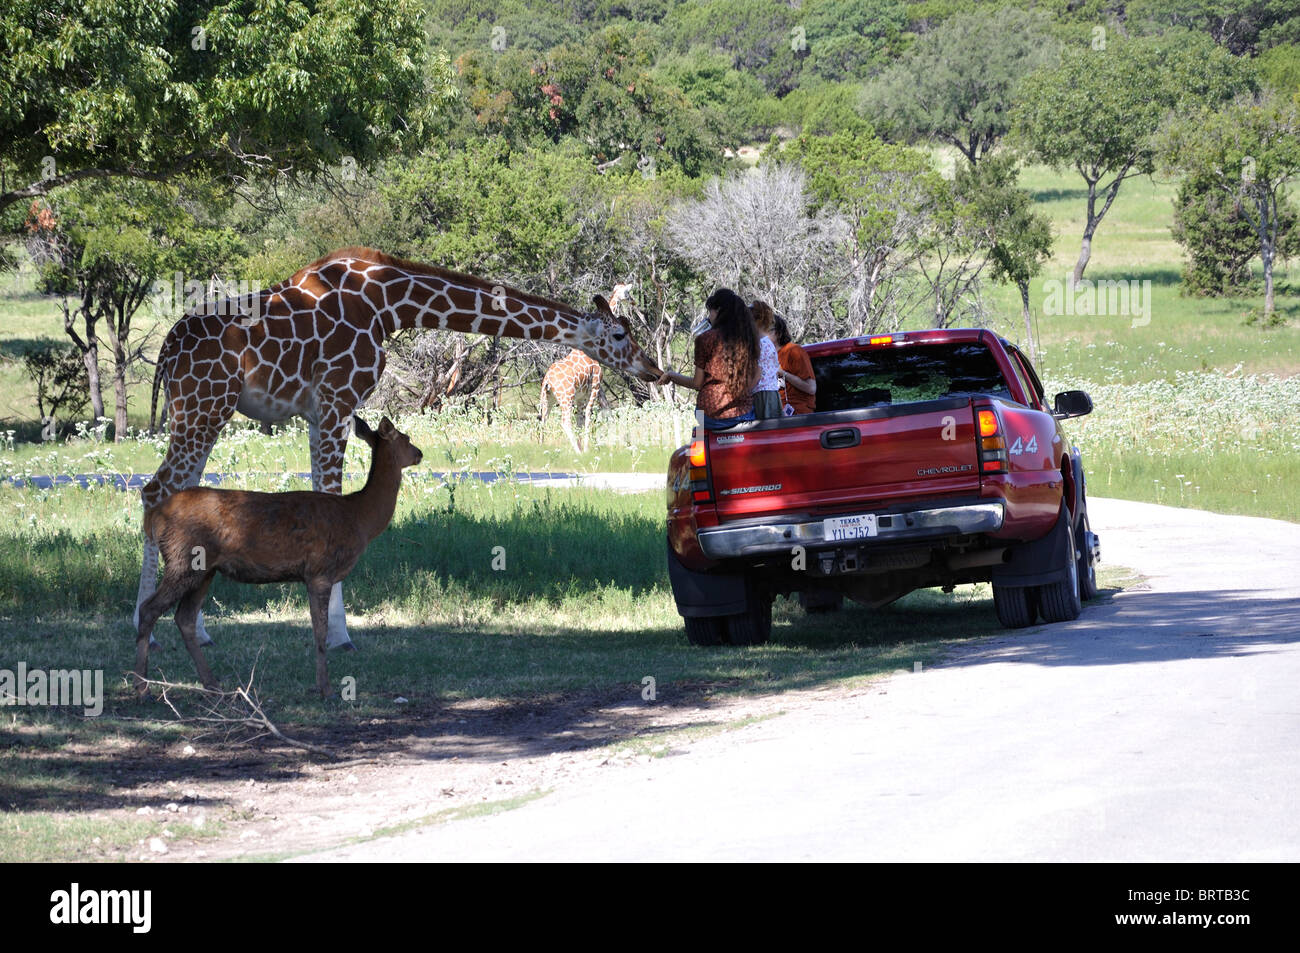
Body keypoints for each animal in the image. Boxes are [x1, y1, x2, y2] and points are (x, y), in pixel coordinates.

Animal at [137, 248, 661, 651]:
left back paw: (194, 629)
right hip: (204, 407)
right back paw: (147, 626)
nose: (653, 369)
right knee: (155, 490)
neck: (388, 304)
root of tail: (166, 351)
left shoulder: (323, 411)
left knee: (177, 492)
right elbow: (331, 501)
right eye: (620, 334)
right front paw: (339, 637)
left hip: (204, 411)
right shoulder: (336, 399)